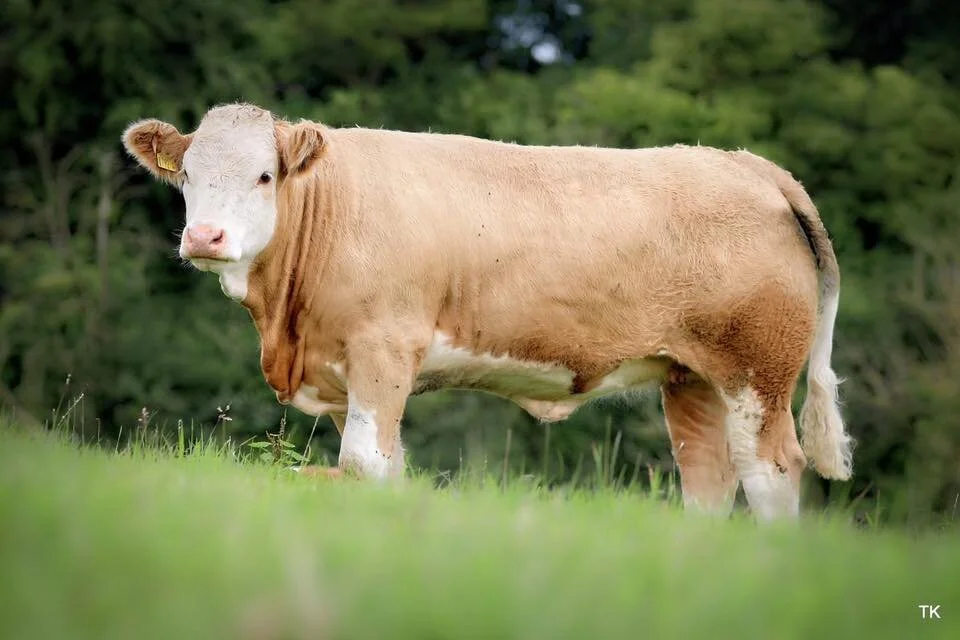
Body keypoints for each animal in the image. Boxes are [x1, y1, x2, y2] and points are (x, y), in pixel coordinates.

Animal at [122, 103, 854, 520]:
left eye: (264, 176)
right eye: (187, 177)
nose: (204, 237)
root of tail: (748, 165)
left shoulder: (384, 348)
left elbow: (364, 464)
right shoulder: (341, 372)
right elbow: (378, 465)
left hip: (757, 370)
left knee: (771, 473)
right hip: (691, 376)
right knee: (708, 478)